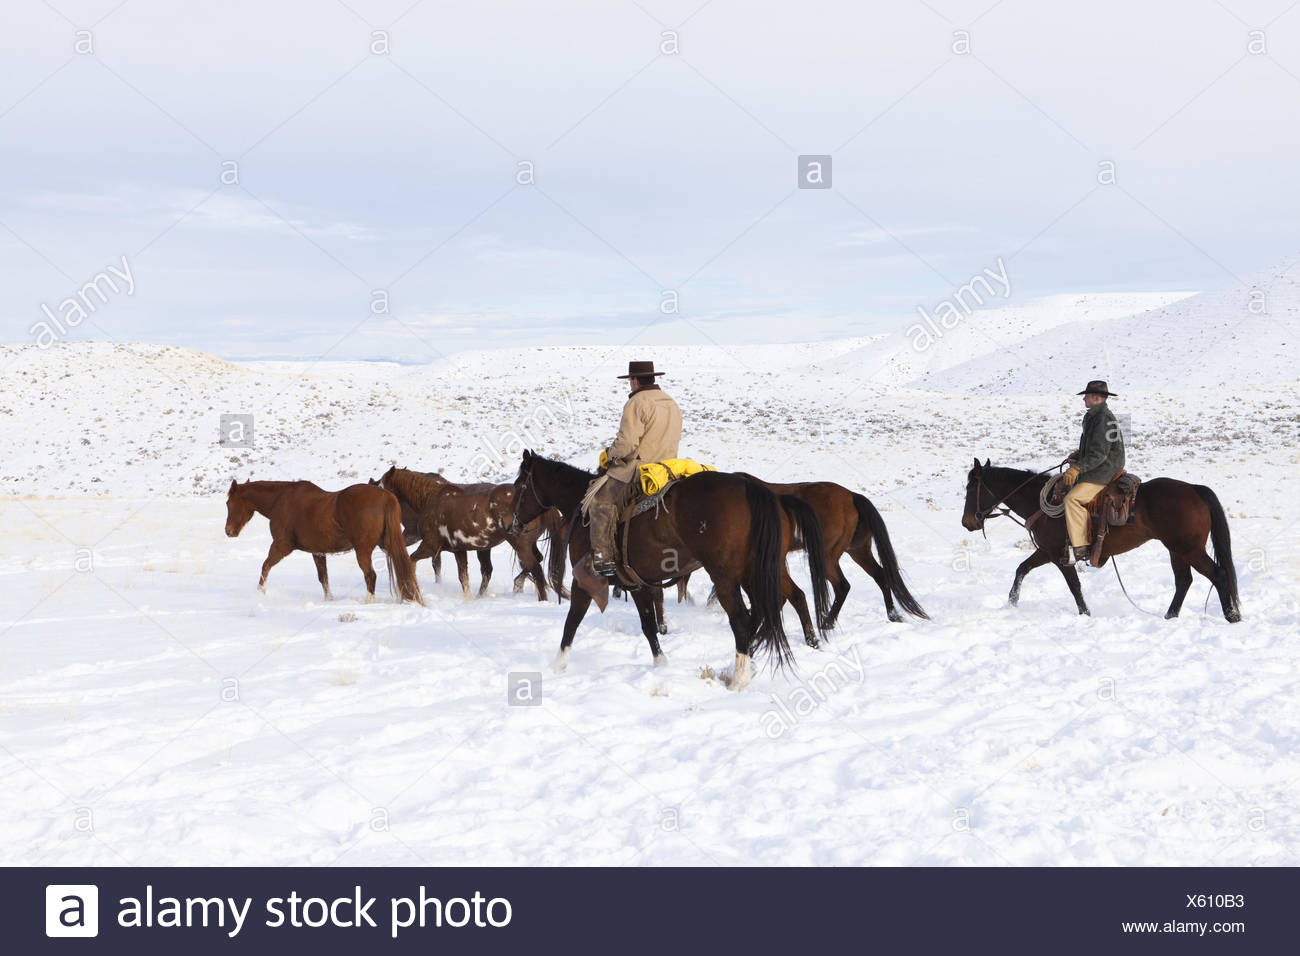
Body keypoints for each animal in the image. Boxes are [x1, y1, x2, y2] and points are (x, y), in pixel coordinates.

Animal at [224, 479, 423, 604]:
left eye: (228, 503)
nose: (229, 531)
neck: (281, 500)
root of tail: (385, 496)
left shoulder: (281, 546)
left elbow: (265, 566)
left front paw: (260, 593)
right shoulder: (318, 552)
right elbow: (323, 578)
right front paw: (329, 600)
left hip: (363, 550)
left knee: (370, 576)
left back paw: (369, 602)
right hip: (388, 545)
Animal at [369, 475, 568, 599]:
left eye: (381, 488)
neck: (432, 499)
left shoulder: (430, 546)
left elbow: (411, 562)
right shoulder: (459, 550)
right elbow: (463, 577)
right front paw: (469, 598)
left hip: (519, 545)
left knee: (535, 569)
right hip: (524, 544)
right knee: (533, 563)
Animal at [509, 450, 832, 691]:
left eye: (519, 487)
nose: (512, 524)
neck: (582, 508)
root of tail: (752, 489)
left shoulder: (584, 582)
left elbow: (571, 622)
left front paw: (557, 665)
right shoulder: (637, 584)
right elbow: (649, 626)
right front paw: (661, 664)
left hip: (727, 577)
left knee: (743, 620)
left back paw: (739, 679)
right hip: (756, 574)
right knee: (767, 610)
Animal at [961, 458, 1241, 621]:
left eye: (970, 488)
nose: (967, 522)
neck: (1039, 501)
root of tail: (1194, 489)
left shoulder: (1057, 554)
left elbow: (1074, 586)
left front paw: (1085, 614)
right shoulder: (1046, 551)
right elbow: (1022, 569)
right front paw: (1011, 603)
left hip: (1188, 549)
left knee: (1217, 574)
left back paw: (1231, 615)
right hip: (1176, 550)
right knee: (1184, 581)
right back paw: (1169, 616)